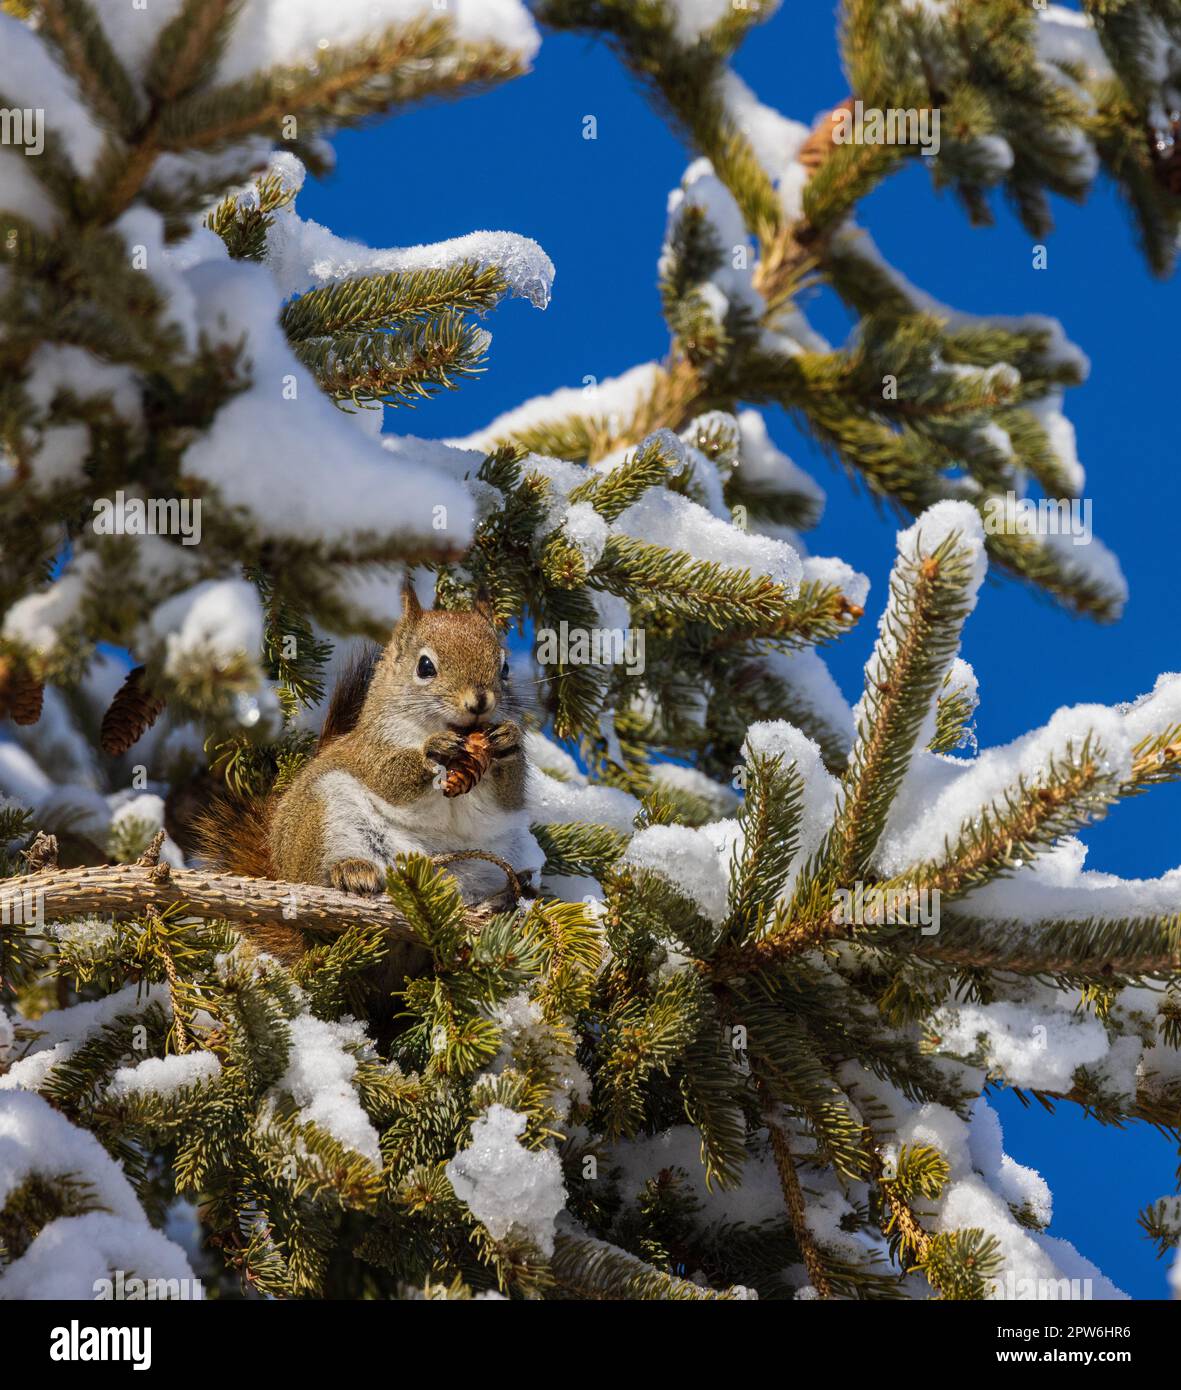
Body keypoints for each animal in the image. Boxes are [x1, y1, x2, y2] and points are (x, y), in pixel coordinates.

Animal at [194, 580, 538, 965]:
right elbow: (389, 780)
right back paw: (351, 873)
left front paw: (509, 739)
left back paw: (503, 896)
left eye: (505, 667)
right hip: (323, 817)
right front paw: (433, 750)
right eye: (425, 666)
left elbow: (508, 797)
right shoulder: (369, 752)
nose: (480, 701)